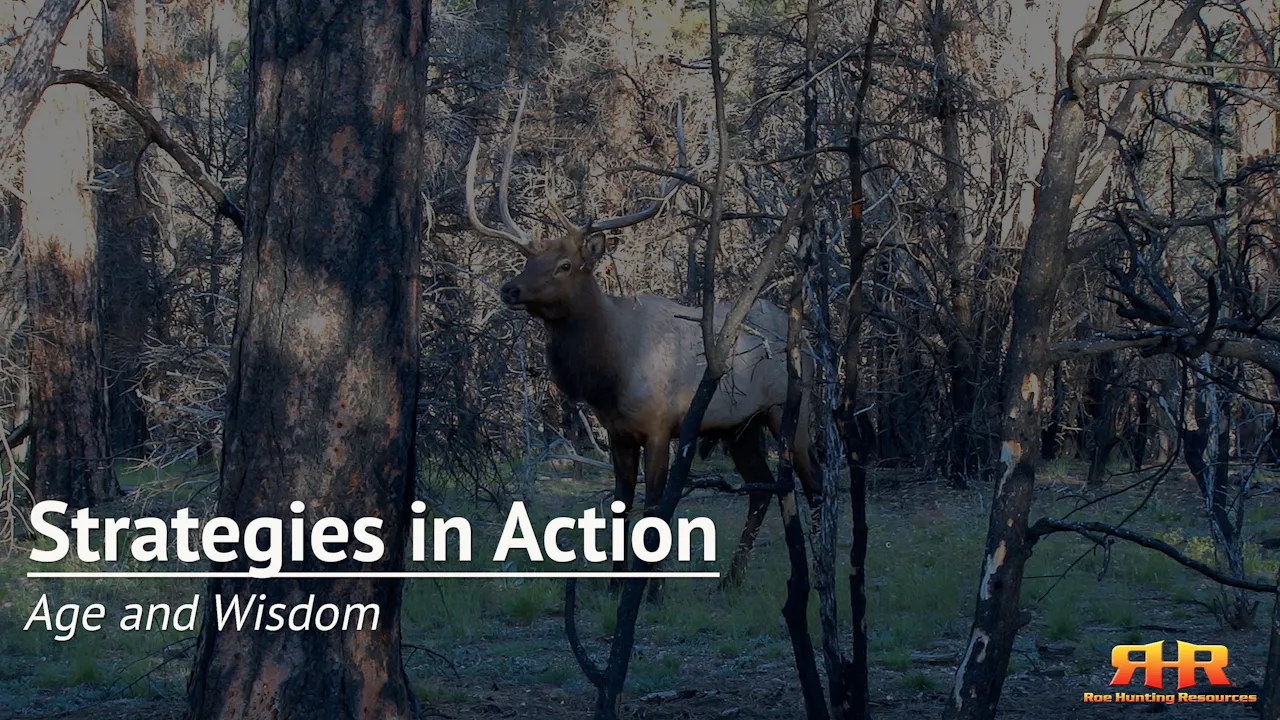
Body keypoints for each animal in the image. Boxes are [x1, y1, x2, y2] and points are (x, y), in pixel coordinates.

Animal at [465, 96, 819, 594]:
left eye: (565, 265)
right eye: (528, 258)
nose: (509, 288)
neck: (611, 374)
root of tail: (808, 343)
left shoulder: (659, 427)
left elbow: (655, 511)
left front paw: (651, 590)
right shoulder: (619, 434)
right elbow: (620, 508)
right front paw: (615, 586)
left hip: (791, 406)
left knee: (812, 479)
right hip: (740, 426)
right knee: (762, 487)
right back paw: (730, 579)